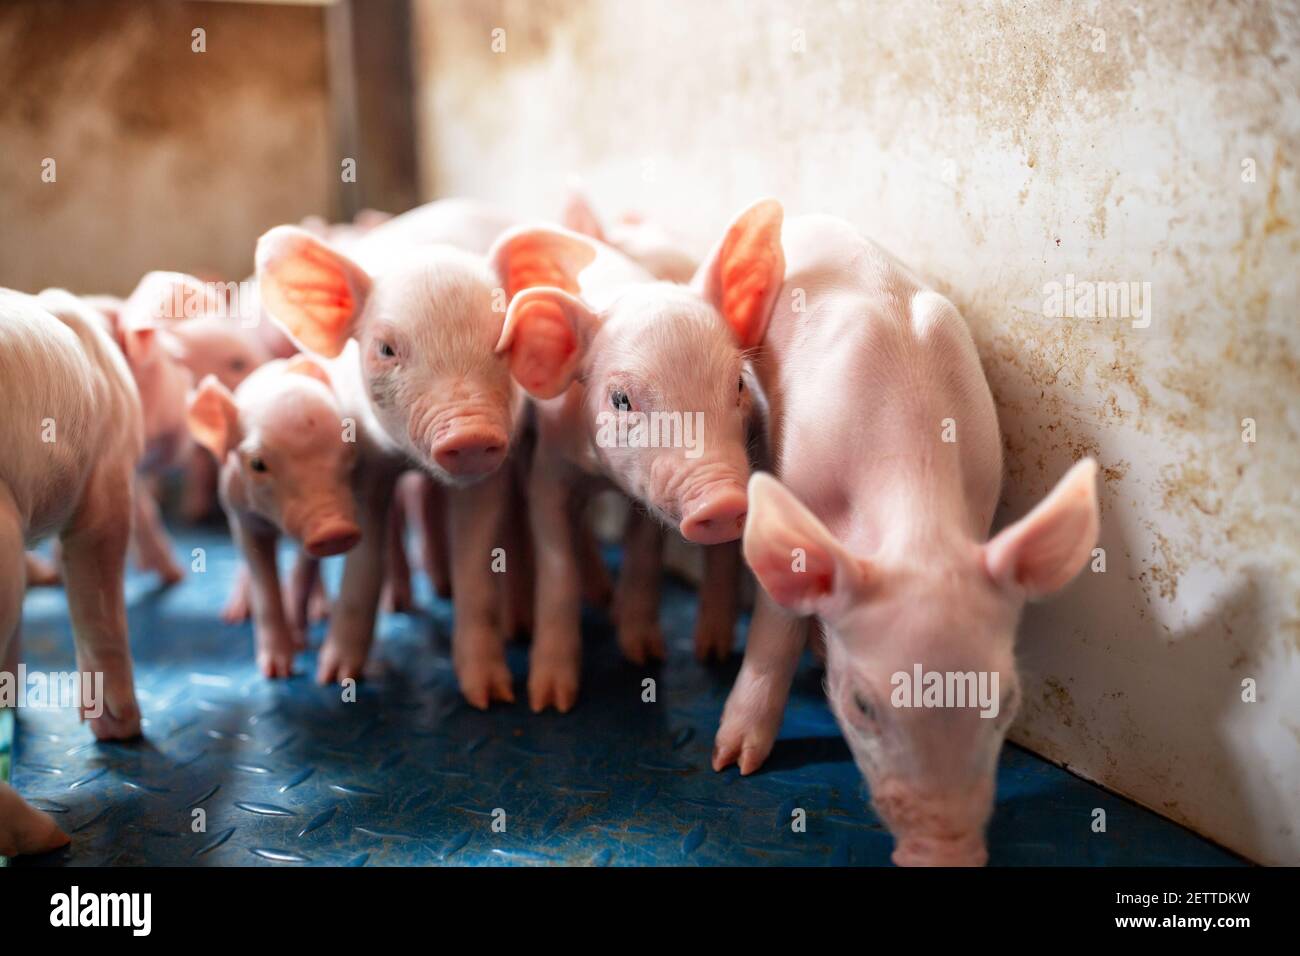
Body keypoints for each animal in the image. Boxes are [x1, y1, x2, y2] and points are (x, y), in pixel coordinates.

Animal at [187, 347, 402, 681]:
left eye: (348, 453)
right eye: (257, 464)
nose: (334, 530)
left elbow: (305, 568)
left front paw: (302, 643)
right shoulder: (240, 515)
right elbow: (263, 583)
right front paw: (277, 672)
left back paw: (320, 611)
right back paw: (235, 614)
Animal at [253, 199, 530, 706]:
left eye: (506, 340)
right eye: (385, 349)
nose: (469, 431)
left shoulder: (489, 474)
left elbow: (476, 559)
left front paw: (490, 695)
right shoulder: (360, 460)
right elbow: (364, 562)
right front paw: (334, 677)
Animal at [489, 198, 786, 710]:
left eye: (739, 384)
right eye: (621, 399)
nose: (724, 499)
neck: (600, 474)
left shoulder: (650, 491)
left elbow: (645, 549)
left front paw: (645, 655)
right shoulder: (550, 469)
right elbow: (557, 564)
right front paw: (551, 700)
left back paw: (705, 648)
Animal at [712, 214, 1100, 867]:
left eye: (1006, 702)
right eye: (861, 706)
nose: (947, 854)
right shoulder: (797, 489)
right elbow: (775, 629)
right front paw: (732, 764)